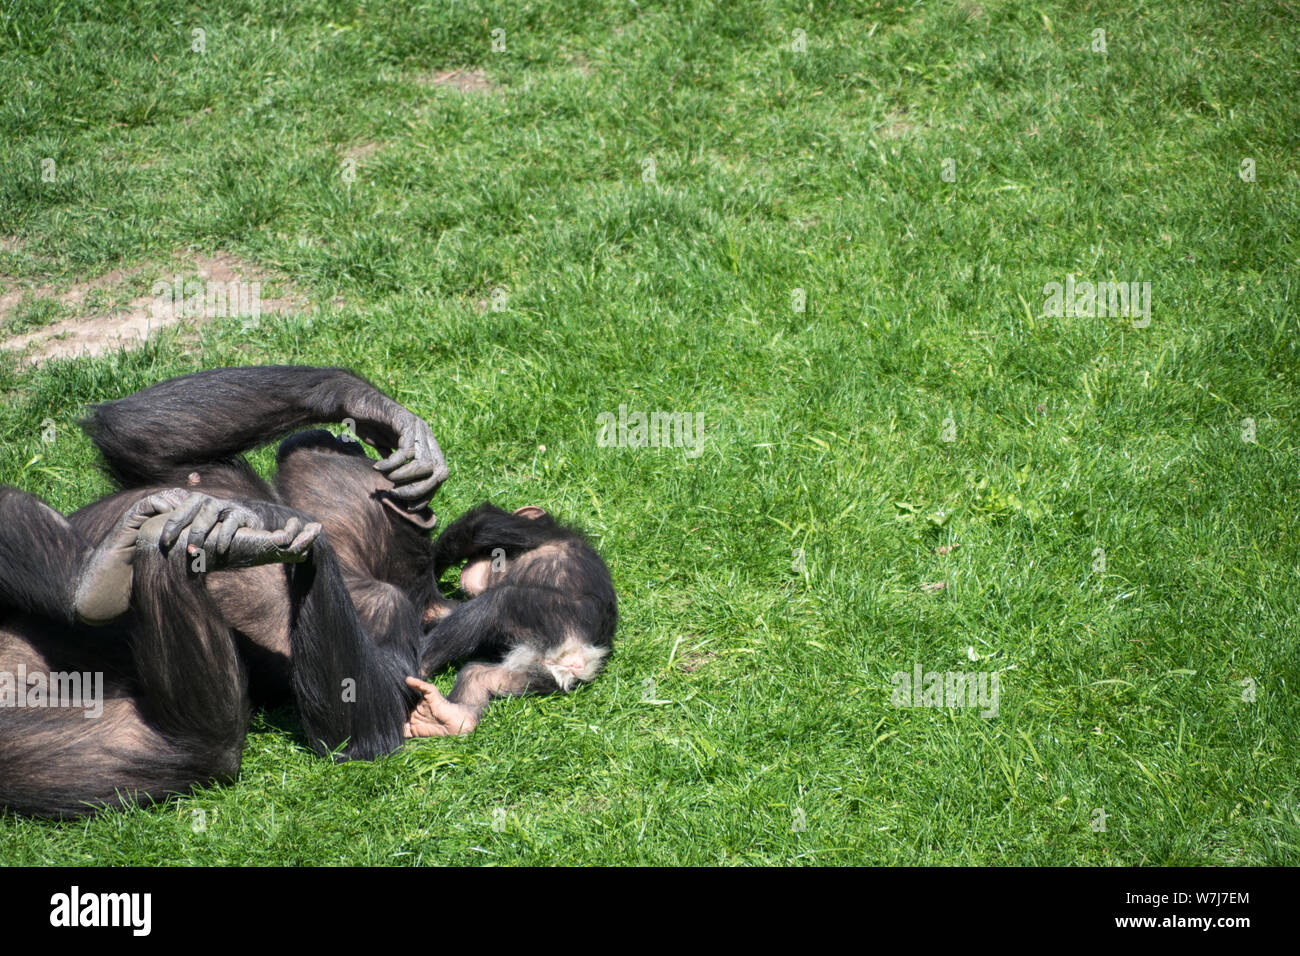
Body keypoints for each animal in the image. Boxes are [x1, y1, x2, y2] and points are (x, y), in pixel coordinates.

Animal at [0, 366, 615, 817]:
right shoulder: (226, 477)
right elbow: (142, 438)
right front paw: (377, 411)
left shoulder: (389, 610)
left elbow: (363, 731)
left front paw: (279, 533)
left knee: (183, 751)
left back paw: (104, 577)